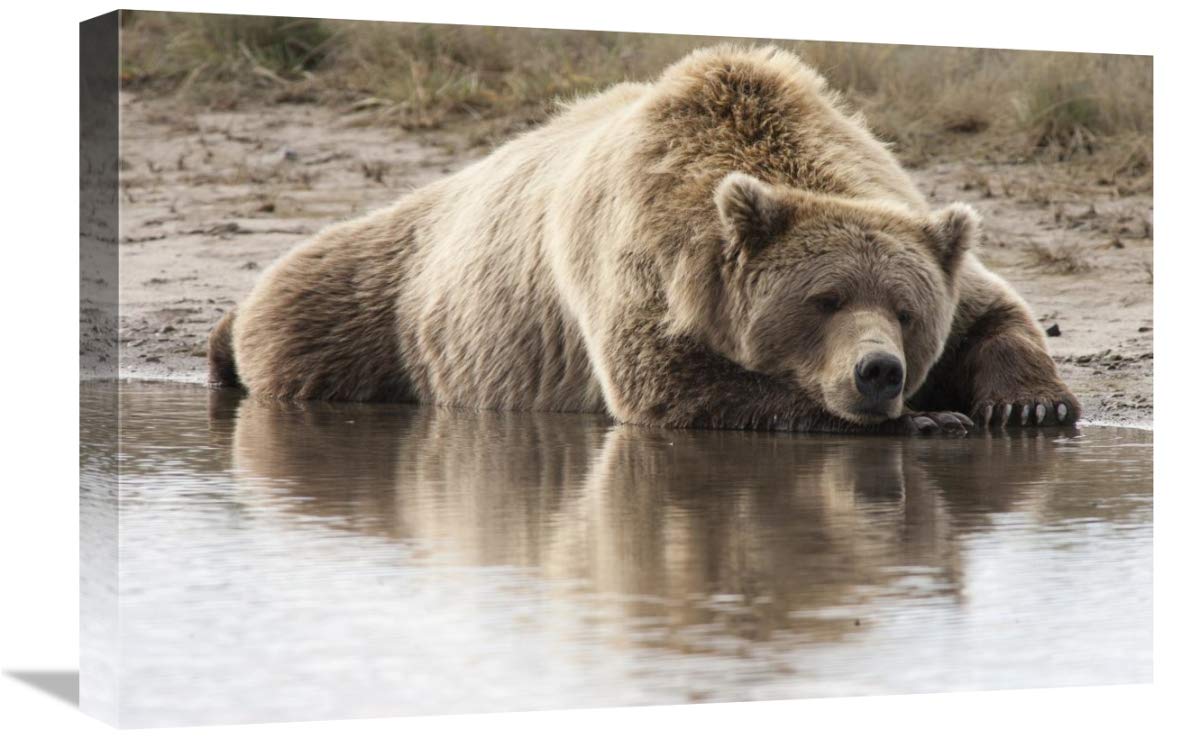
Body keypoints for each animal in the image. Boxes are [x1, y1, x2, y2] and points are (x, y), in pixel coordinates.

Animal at [209, 45, 1080, 434]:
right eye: (824, 299)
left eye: (904, 310)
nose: (878, 371)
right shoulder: (643, 265)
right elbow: (677, 386)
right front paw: (928, 420)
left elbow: (995, 310)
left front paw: (1028, 405)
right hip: (381, 301)